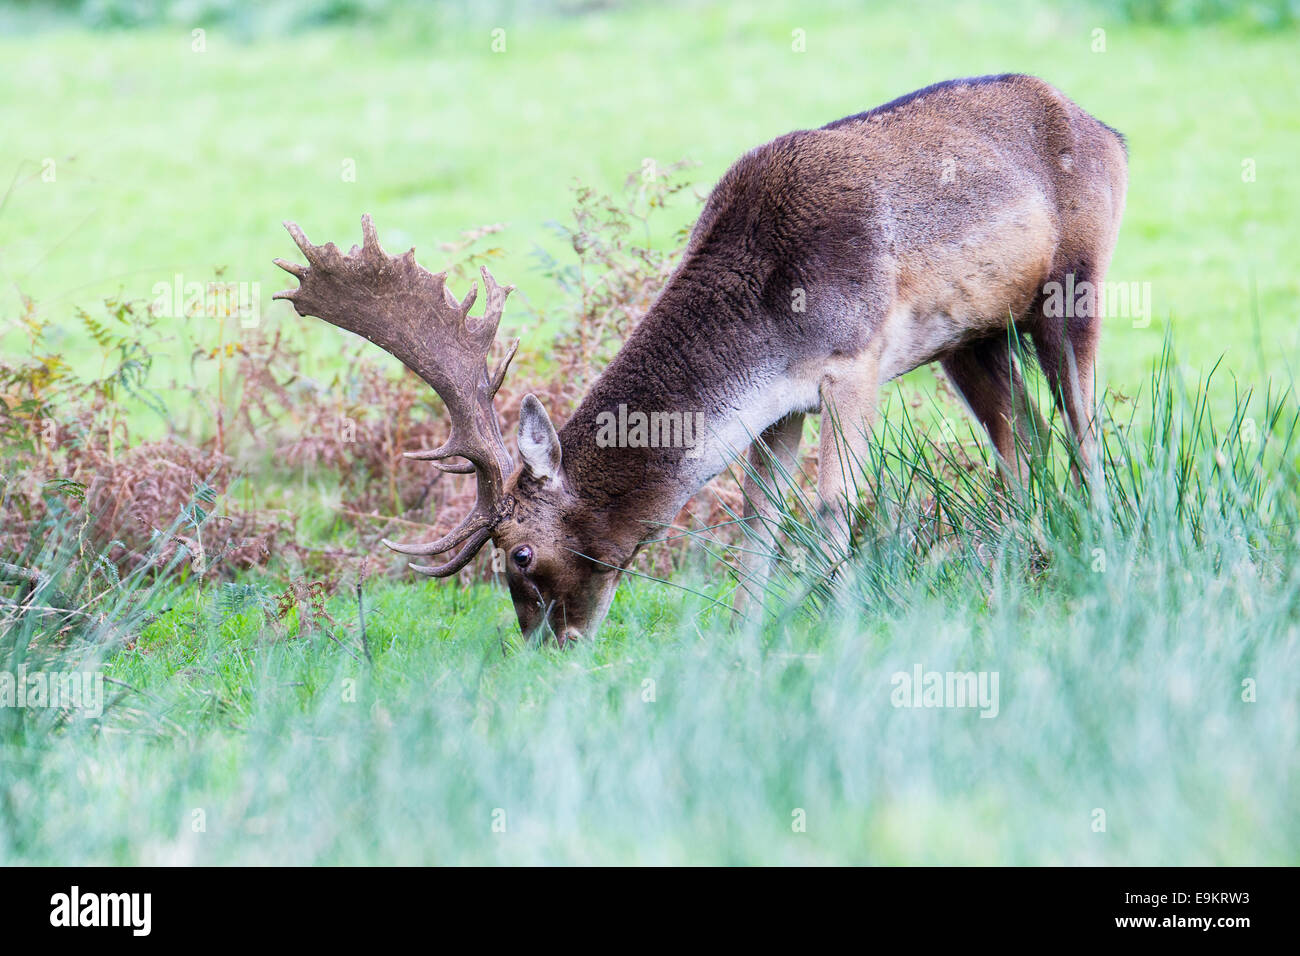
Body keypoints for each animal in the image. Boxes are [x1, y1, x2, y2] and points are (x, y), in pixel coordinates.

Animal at [274, 73, 1128, 643]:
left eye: (518, 554)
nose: (548, 644)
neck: (769, 323)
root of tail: (1109, 130)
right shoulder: (782, 405)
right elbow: (760, 515)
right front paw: (746, 635)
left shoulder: (856, 357)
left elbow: (833, 502)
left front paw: (837, 618)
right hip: (972, 337)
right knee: (1023, 436)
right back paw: (1024, 562)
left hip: (1075, 281)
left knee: (1081, 431)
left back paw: (1100, 553)